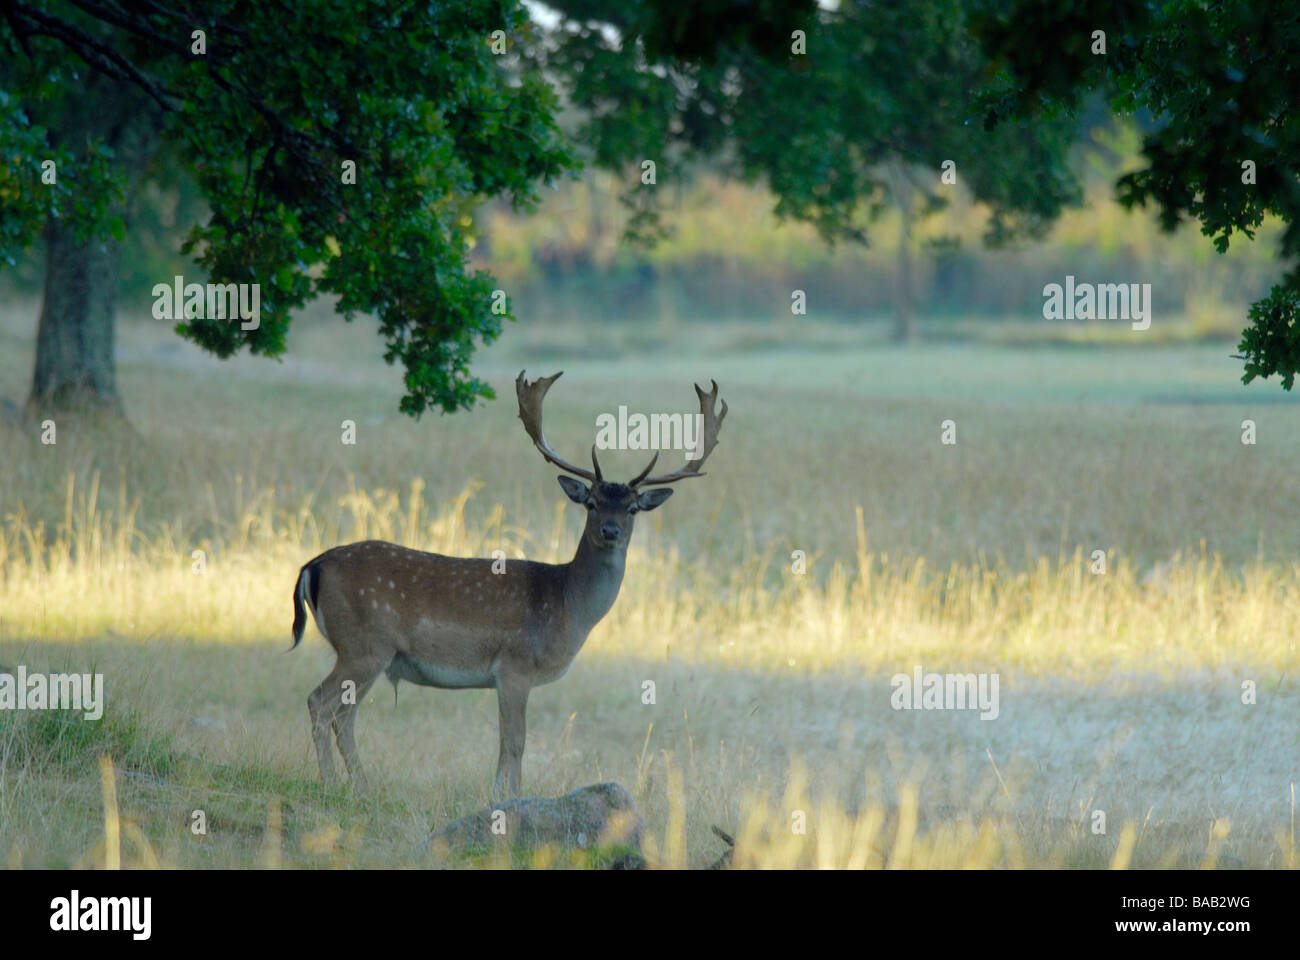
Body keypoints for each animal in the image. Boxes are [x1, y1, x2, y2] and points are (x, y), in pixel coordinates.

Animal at [290, 370, 726, 798]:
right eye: (591, 503)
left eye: (633, 508)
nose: (610, 530)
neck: (565, 606)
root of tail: (312, 565)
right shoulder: (515, 666)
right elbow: (515, 741)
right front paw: (509, 798)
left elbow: (506, 741)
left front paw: (499, 795)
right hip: (363, 644)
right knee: (320, 702)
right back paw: (331, 784)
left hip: (373, 653)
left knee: (344, 714)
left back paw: (362, 787)